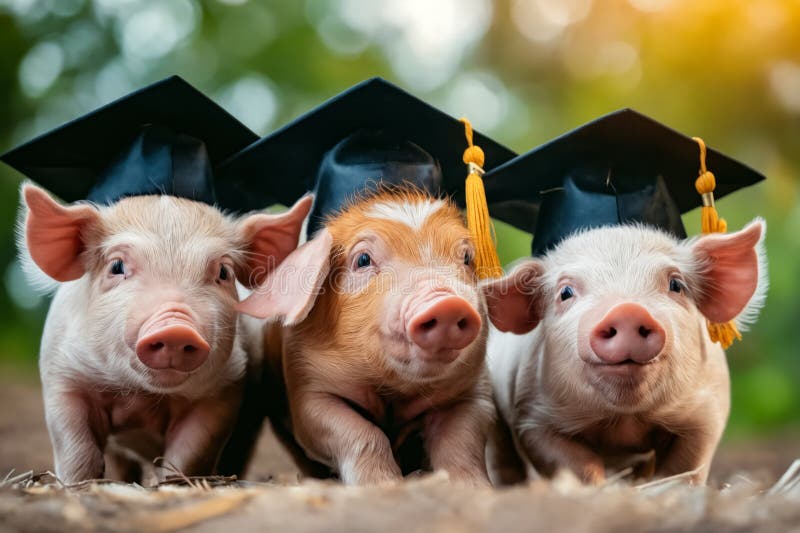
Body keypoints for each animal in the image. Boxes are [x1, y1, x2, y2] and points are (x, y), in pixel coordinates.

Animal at [18, 183, 312, 484]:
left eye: (223, 272)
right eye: (116, 266)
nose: (176, 328)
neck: (141, 397)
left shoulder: (222, 390)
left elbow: (187, 454)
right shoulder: (62, 378)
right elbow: (77, 451)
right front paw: (78, 485)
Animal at [236, 188, 532, 485]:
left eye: (467, 258)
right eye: (363, 260)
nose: (447, 303)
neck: (394, 394)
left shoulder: (472, 393)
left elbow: (460, 442)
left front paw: (474, 487)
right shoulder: (309, 389)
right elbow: (361, 432)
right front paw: (383, 484)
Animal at [486, 220, 767, 486]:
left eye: (676, 284)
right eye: (565, 292)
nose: (627, 311)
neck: (625, 422)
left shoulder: (707, 410)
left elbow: (683, 467)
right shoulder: (535, 418)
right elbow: (578, 465)